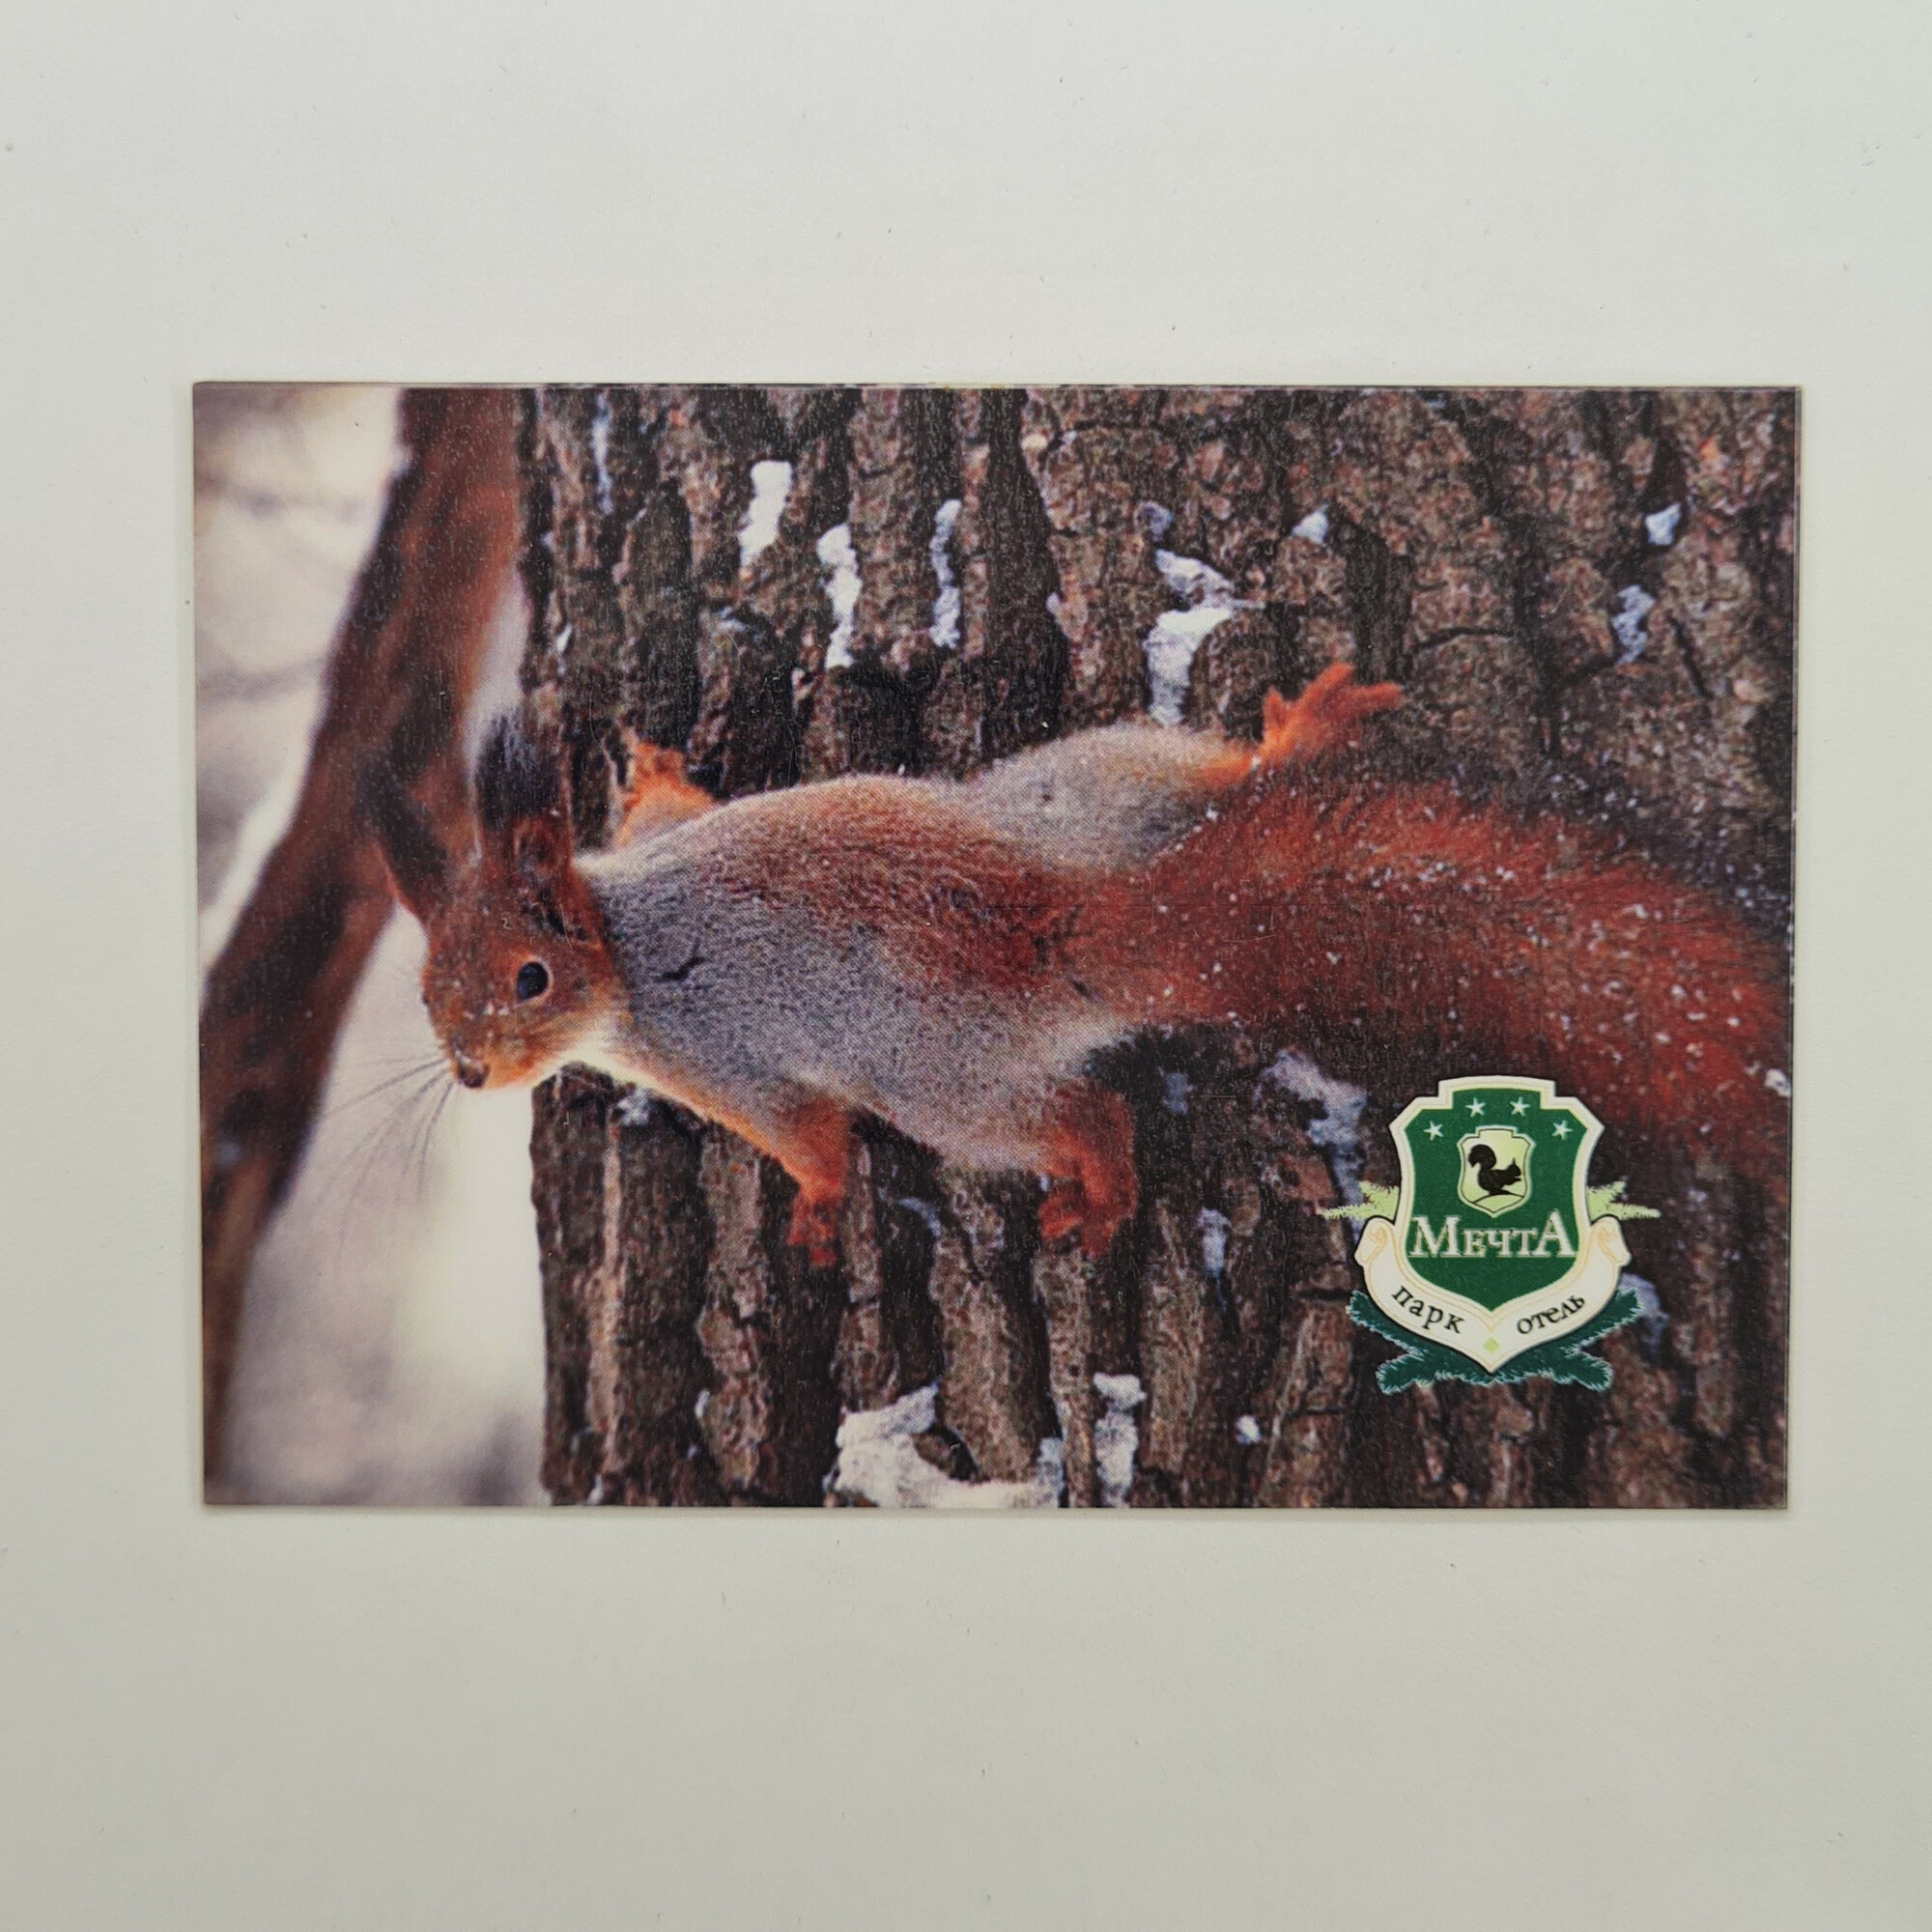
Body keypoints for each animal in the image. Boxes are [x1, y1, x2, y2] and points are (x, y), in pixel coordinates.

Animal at [356, 664, 1790, 1265]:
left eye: (528, 982)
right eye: (428, 994)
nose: (471, 1071)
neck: (627, 943)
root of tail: (1066, 918)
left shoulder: (723, 1061)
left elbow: (809, 1143)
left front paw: (815, 1215)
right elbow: (672, 802)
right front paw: (652, 764)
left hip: (942, 1084)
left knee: (1083, 1110)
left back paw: (1096, 1197)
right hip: (1090, 785)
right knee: (1215, 776)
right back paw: (1299, 734)